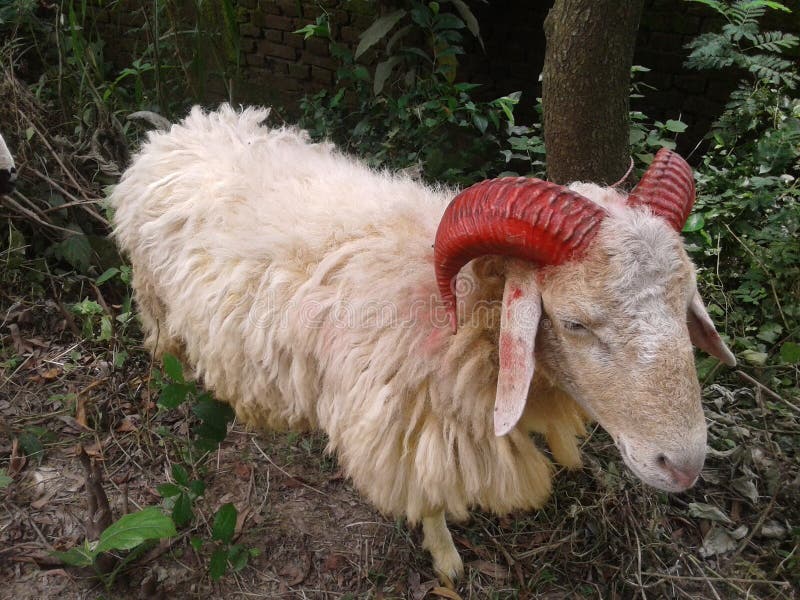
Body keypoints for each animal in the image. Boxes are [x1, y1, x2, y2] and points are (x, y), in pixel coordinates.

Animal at [111, 105, 736, 582]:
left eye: (685, 301)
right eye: (575, 323)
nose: (684, 467)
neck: (462, 311)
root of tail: (179, 129)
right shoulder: (403, 429)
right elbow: (428, 496)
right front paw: (448, 561)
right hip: (152, 295)